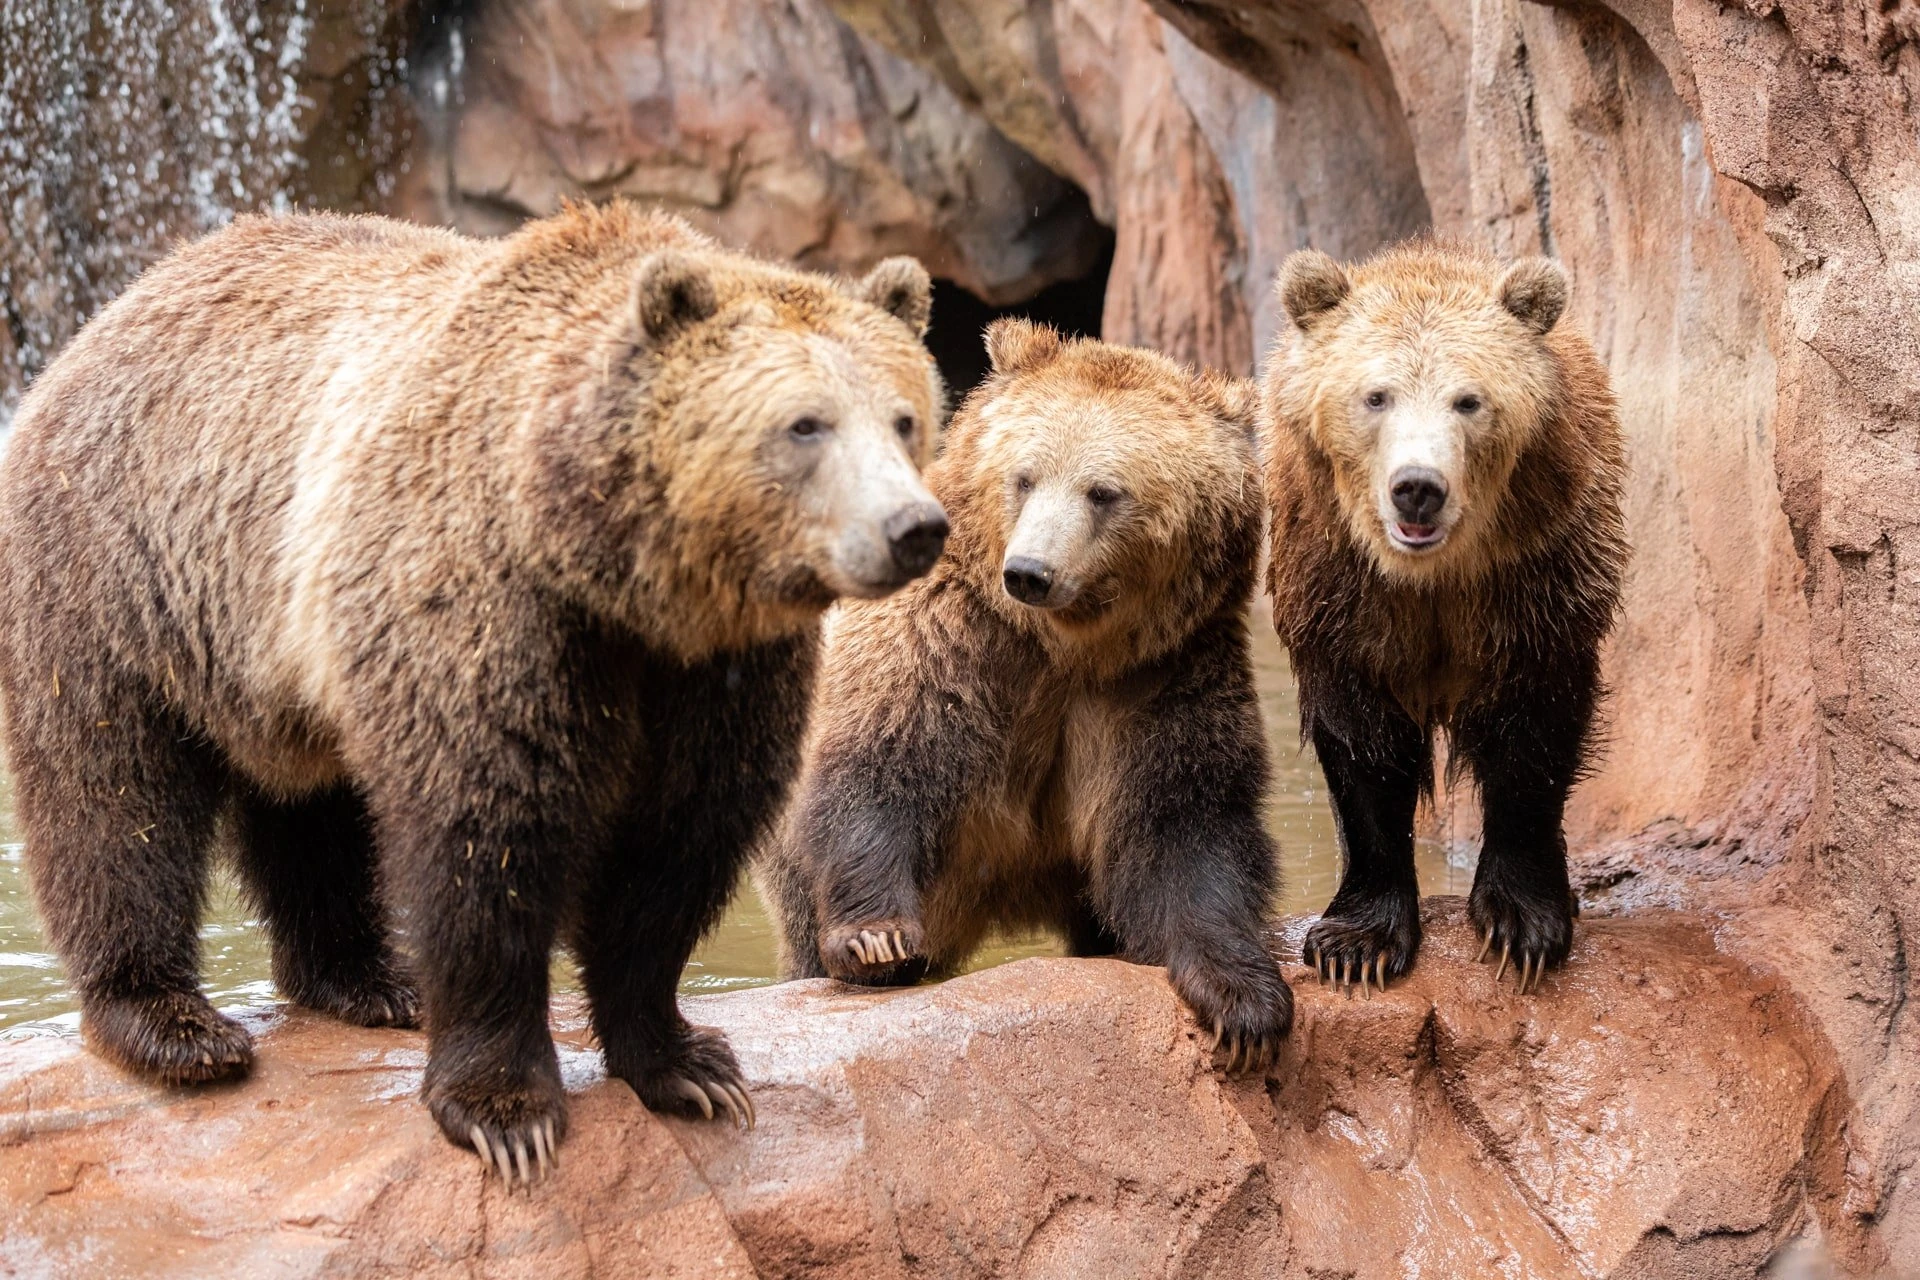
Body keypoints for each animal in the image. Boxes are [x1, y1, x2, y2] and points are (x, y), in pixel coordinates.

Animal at [0, 200, 950, 1182]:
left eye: (904, 417)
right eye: (806, 425)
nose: (913, 527)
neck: (610, 570)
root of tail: (116, 308)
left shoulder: (714, 672)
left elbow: (676, 843)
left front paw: (688, 1065)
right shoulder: (486, 610)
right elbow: (486, 841)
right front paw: (507, 1109)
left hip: (279, 656)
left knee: (309, 808)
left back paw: (366, 978)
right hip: (122, 572)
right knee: (113, 793)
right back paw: (173, 1023)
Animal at [757, 319, 1295, 1073]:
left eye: (1103, 492)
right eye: (1025, 476)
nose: (1030, 571)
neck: (1064, 646)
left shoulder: (1163, 675)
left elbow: (1184, 824)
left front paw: (1244, 1001)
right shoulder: (953, 643)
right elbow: (884, 764)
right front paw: (875, 938)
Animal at [1263, 239, 1628, 996]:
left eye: (1469, 400)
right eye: (1376, 395)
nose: (1417, 489)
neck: (1431, 576)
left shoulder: (1534, 578)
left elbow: (1533, 732)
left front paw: (1523, 924)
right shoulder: (1341, 588)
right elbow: (1364, 747)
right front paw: (1357, 944)